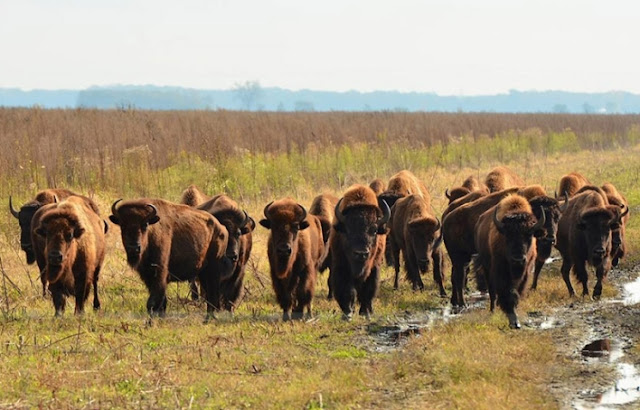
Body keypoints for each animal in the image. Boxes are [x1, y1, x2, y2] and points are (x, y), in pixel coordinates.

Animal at [329, 185, 390, 319]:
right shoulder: (341, 267)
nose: (361, 253)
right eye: (348, 230)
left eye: (374, 230)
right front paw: (348, 313)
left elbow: (368, 291)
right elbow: (348, 290)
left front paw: (365, 313)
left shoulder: (373, 268)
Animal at [473, 195, 544, 329]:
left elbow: (517, 293)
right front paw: (514, 321)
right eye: (508, 236)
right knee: (492, 292)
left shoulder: (525, 273)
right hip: (486, 268)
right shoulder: (501, 271)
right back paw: (493, 310)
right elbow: (508, 293)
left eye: (529, 235)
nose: (517, 259)